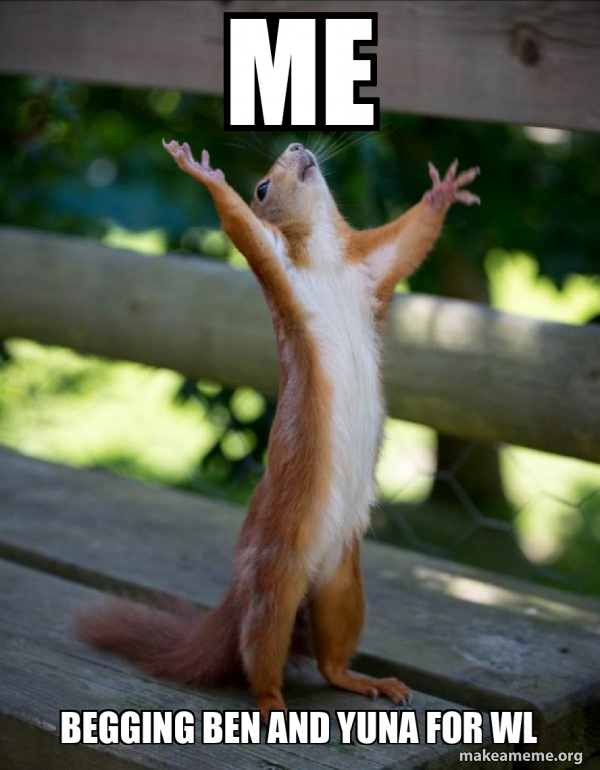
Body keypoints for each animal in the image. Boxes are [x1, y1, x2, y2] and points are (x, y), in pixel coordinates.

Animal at [78, 139, 480, 723]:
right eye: (262, 187)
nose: (295, 146)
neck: (327, 257)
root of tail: (239, 595)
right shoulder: (277, 264)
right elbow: (240, 225)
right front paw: (204, 173)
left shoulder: (371, 267)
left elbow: (410, 240)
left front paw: (443, 192)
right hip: (273, 585)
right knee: (259, 655)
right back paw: (272, 703)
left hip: (343, 587)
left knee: (331, 660)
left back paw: (367, 680)